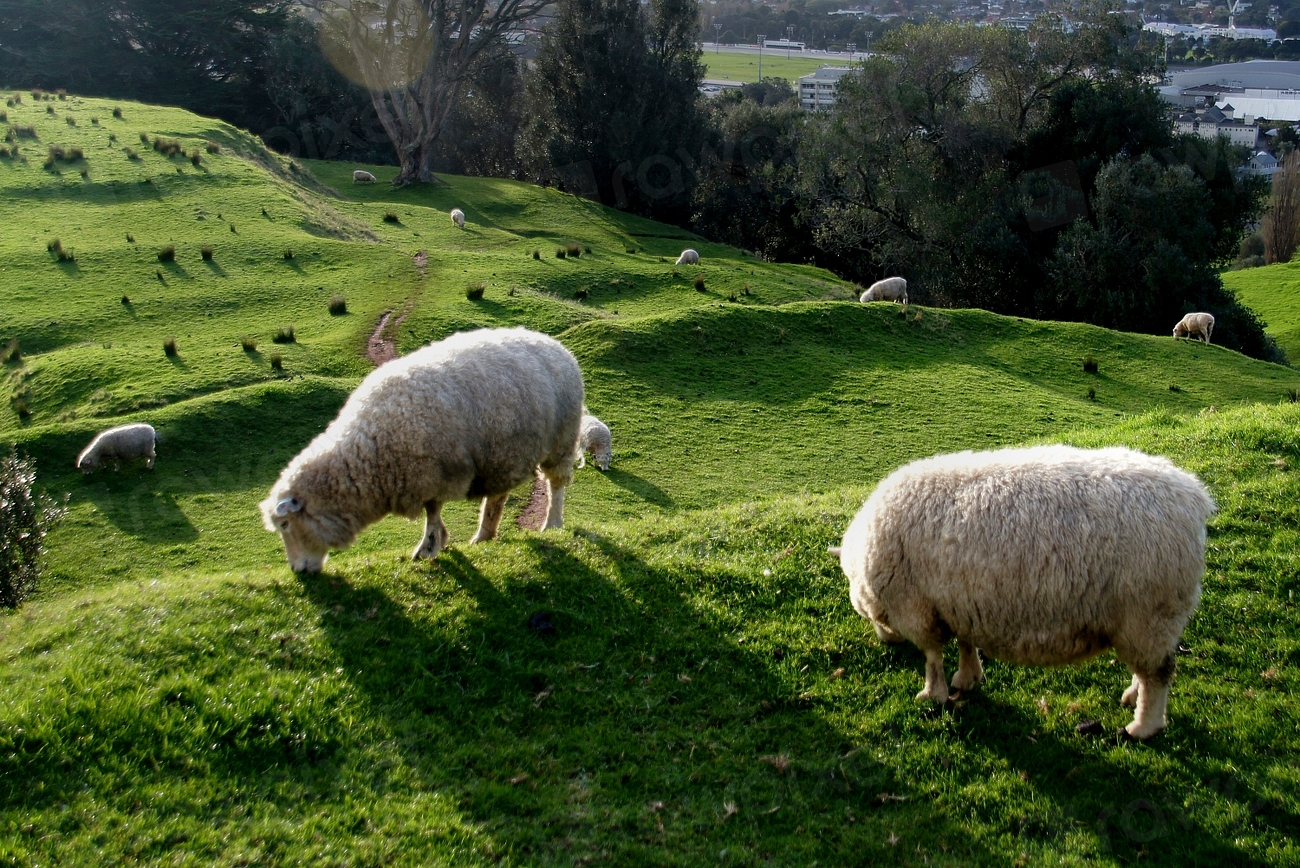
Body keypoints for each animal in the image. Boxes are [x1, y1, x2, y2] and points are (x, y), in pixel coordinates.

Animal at [260, 327, 584, 574]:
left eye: (286, 523)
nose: (298, 571)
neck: (371, 447)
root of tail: (554, 344)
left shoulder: (433, 472)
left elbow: (432, 511)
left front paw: (428, 546)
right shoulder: (427, 476)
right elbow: (434, 511)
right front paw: (439, 540)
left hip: (562, 439)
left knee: (556, 485)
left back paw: (552, 524)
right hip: (502, 454)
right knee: (498, 495)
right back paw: (483, 535)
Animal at [831, 444, 1214, 740]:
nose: (885, 639)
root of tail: (1194, 498)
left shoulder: (918, 610)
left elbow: (932, 657)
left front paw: (933, 694)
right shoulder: (960, 600)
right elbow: (965, 642)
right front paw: (968, 678)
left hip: (1151, 612)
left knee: (1159, 675)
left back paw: (1142, 726)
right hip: (1143, 620)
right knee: (1146, 670)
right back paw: (1132, 696)